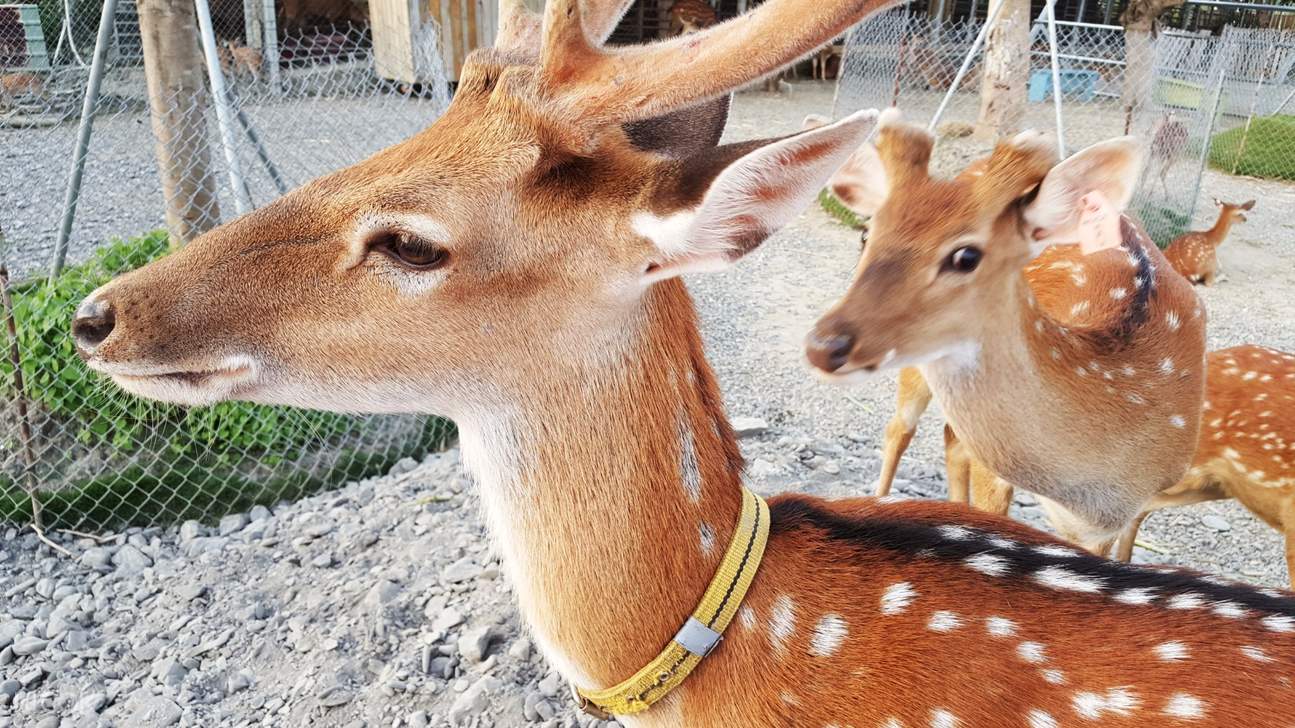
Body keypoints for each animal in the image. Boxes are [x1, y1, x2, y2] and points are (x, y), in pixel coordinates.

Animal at [808, 110, 1209, 557]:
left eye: (966, 256)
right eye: (866, 234)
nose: (825, 345)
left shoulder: (1115, 522)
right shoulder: (997, 474)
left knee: (949, 437)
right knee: (900, 428)